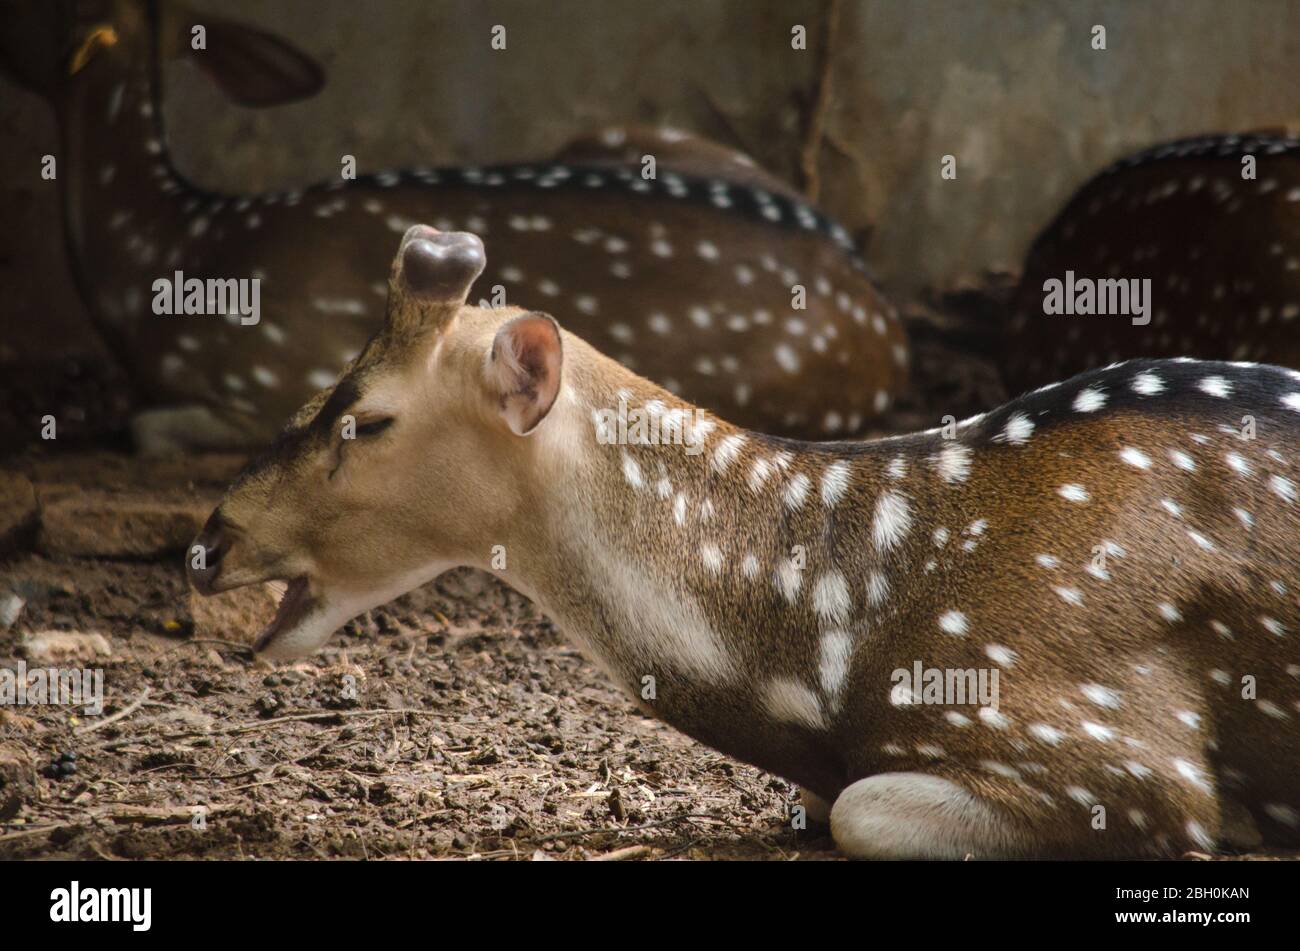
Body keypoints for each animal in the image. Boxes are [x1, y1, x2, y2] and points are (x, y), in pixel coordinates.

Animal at [188, 224, 1300, 859]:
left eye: (367, 418)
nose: (207, 543)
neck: (823, 662)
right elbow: (824, 806)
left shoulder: (1111, 754)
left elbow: (858, 811)